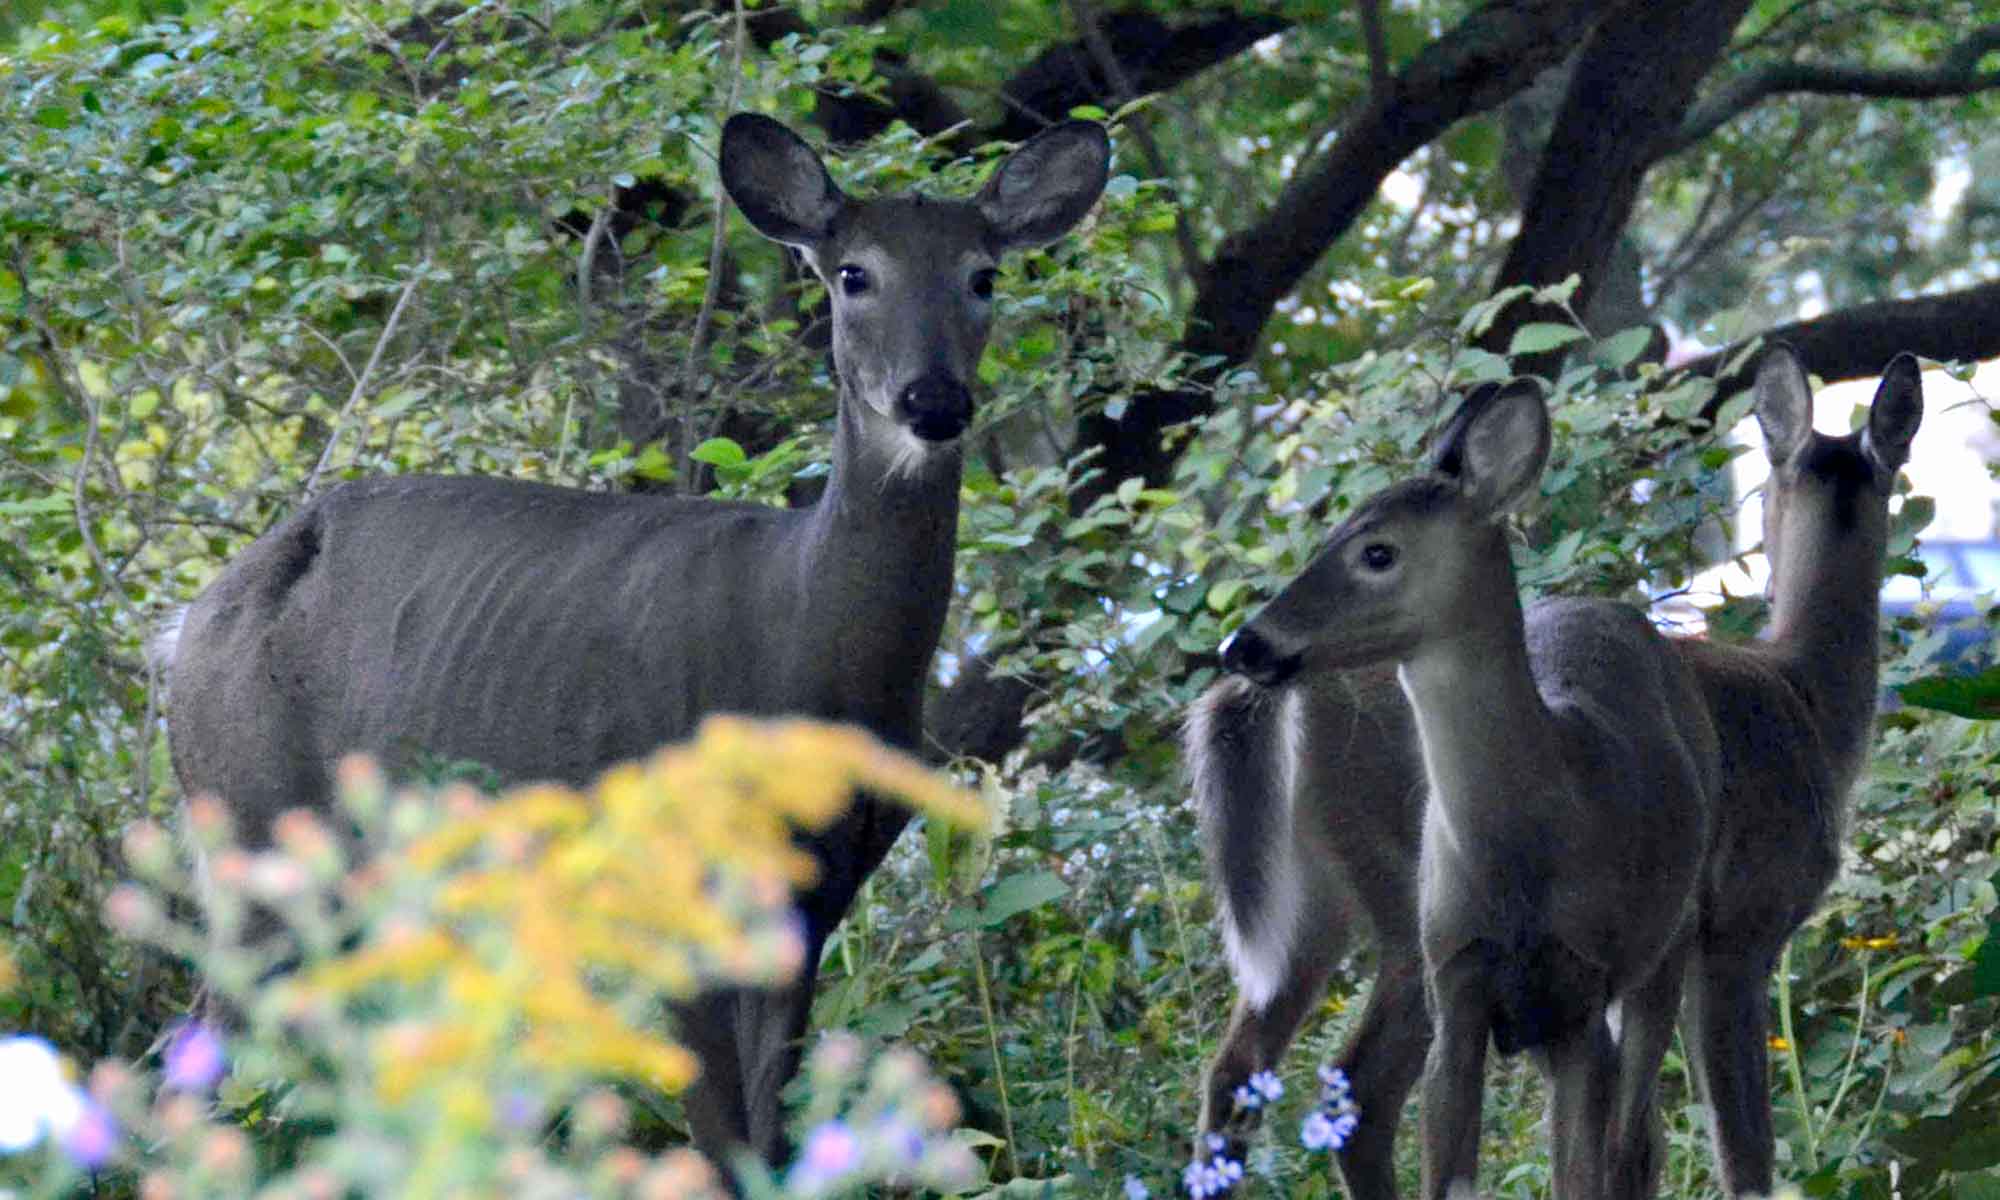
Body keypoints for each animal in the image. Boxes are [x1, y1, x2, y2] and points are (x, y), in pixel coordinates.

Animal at [157, 112, 1109, 1168]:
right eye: (852, 273)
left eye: (984, 275)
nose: (933, 400)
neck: (804, 638)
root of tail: (187, 623)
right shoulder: (671, 864)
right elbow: (722, 1135)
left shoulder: (819, 888)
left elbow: (774, 1124)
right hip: (252, 822)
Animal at [1188, 346, 1923, 1198]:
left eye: (1376, 551)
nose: (1244, 643)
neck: (1808, 699)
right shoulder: (1745, 921)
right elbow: (1738, 1149)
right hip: (1409, 908)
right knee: (1366, 1087)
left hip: (1313, 907)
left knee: (1248, 1069)